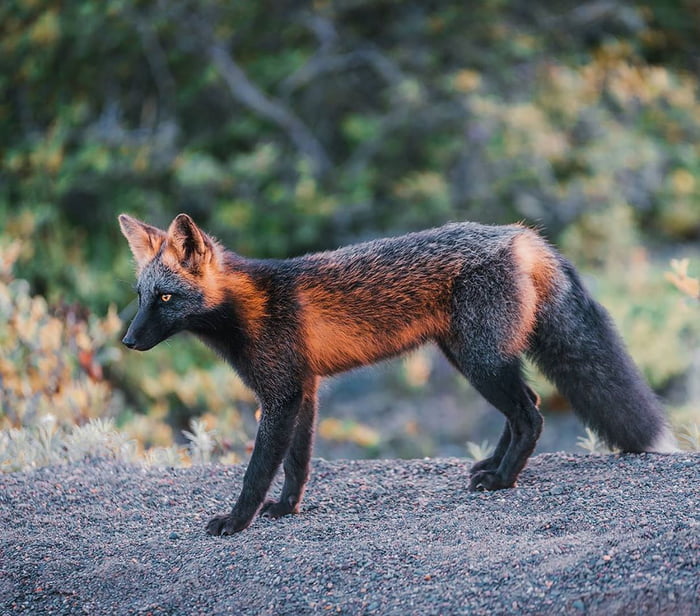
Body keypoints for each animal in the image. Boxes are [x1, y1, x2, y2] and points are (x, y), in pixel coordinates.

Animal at [119, 213, 677, 535]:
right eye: (142, 297)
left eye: (165, 298)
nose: (127, 341)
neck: (250, 309)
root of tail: (520, 235)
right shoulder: (305, 389)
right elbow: (298, 464)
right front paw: (287, 508)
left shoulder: (280, 395)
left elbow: (257, 471)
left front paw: (237, 521)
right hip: (473, 356)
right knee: (524, 410)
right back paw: (493, 467)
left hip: (480, 361)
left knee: (532, 414)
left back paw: (502, 480)